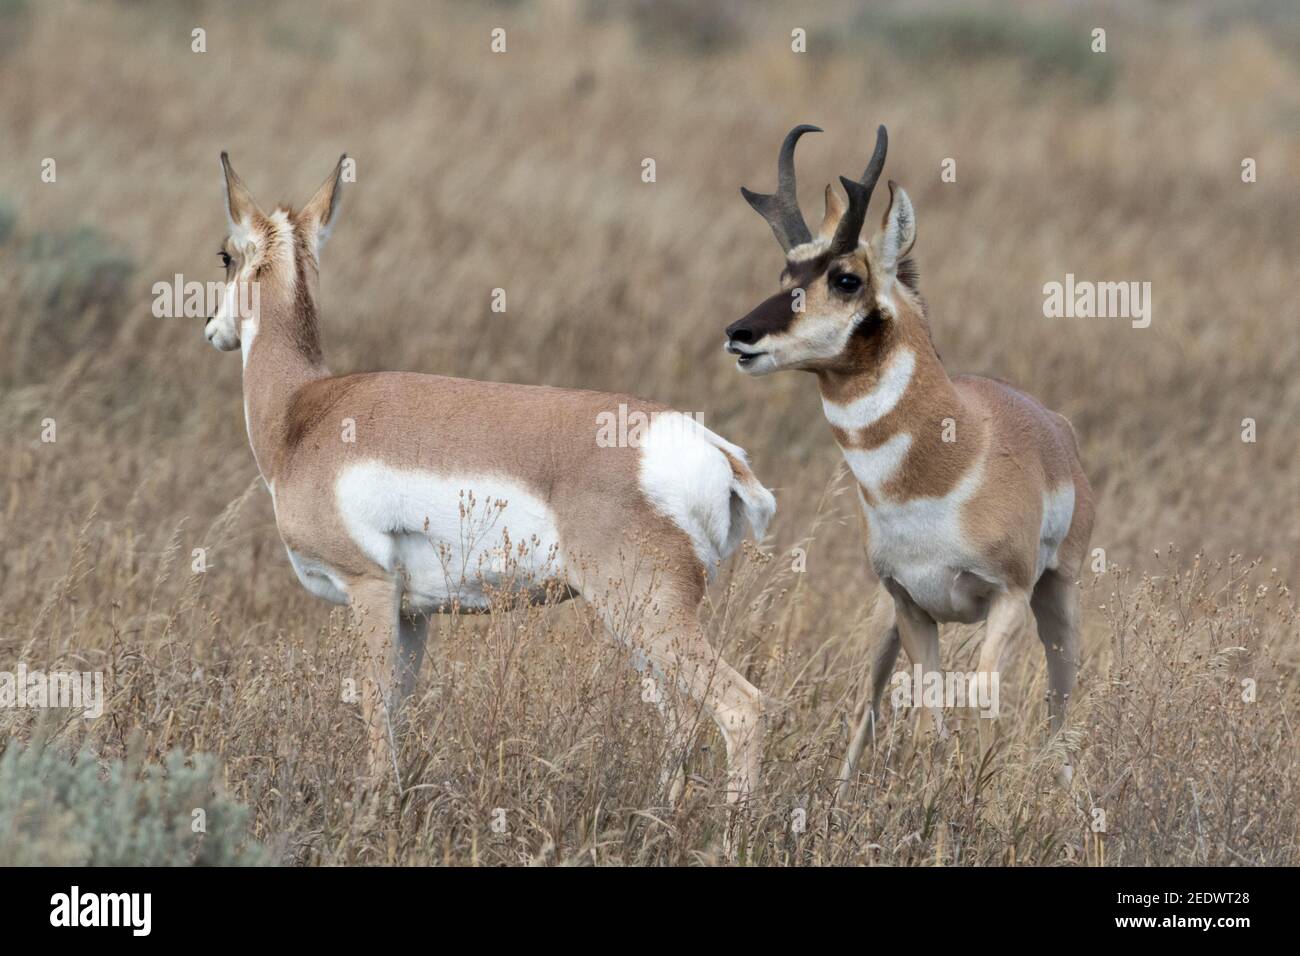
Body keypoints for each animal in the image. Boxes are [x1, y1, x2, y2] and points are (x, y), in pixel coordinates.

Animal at [204, 153, 775, 802]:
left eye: (225, 254)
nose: (213, 329)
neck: (307, 411)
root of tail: (712, 448)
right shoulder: (414, 612)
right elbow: (397, 710)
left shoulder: (370, 588)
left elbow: (375, 708)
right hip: (638, 623)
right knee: (680, 715)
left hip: (648, 613)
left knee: (741, 708)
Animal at [727, 125, 1094, 796]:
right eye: (787, 270)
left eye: (846, 278)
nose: (740, 334)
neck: (950, 458)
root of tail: (1057, 427)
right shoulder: (910, 604)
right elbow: (927, 722)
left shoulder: (1007, 598)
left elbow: (980, 710)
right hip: (885, 618)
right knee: (867, 700)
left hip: (1059, 601)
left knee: (1060, 710)